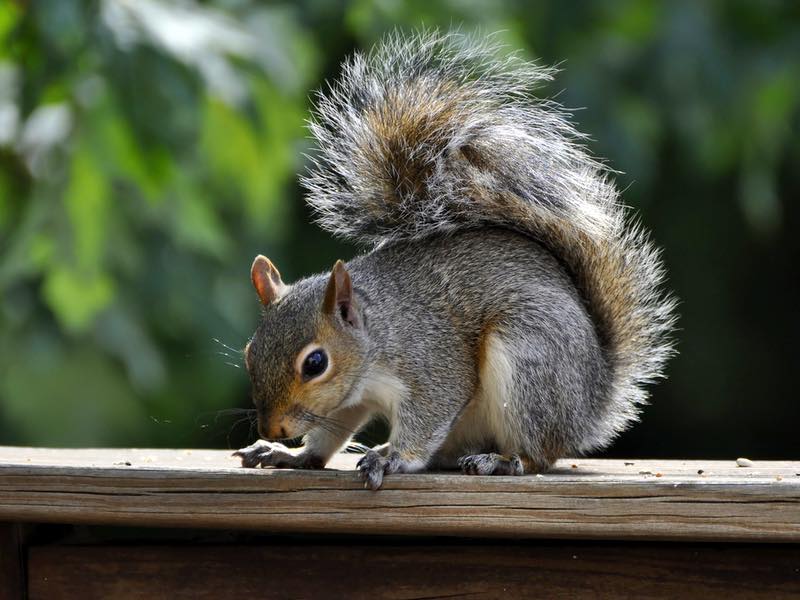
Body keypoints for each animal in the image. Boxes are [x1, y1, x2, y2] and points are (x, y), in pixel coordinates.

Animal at [234, 32, 676, 490]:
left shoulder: (432, 362)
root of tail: (591, 404)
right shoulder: (349, 398)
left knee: (539, 453)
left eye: (315, 363)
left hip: (530, 358)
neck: (376, 335)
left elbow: (432, 410)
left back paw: (501, 461)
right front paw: (295, 455)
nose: (272, 429)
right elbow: (332, 430)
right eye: (250, 353)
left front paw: (396, 460)